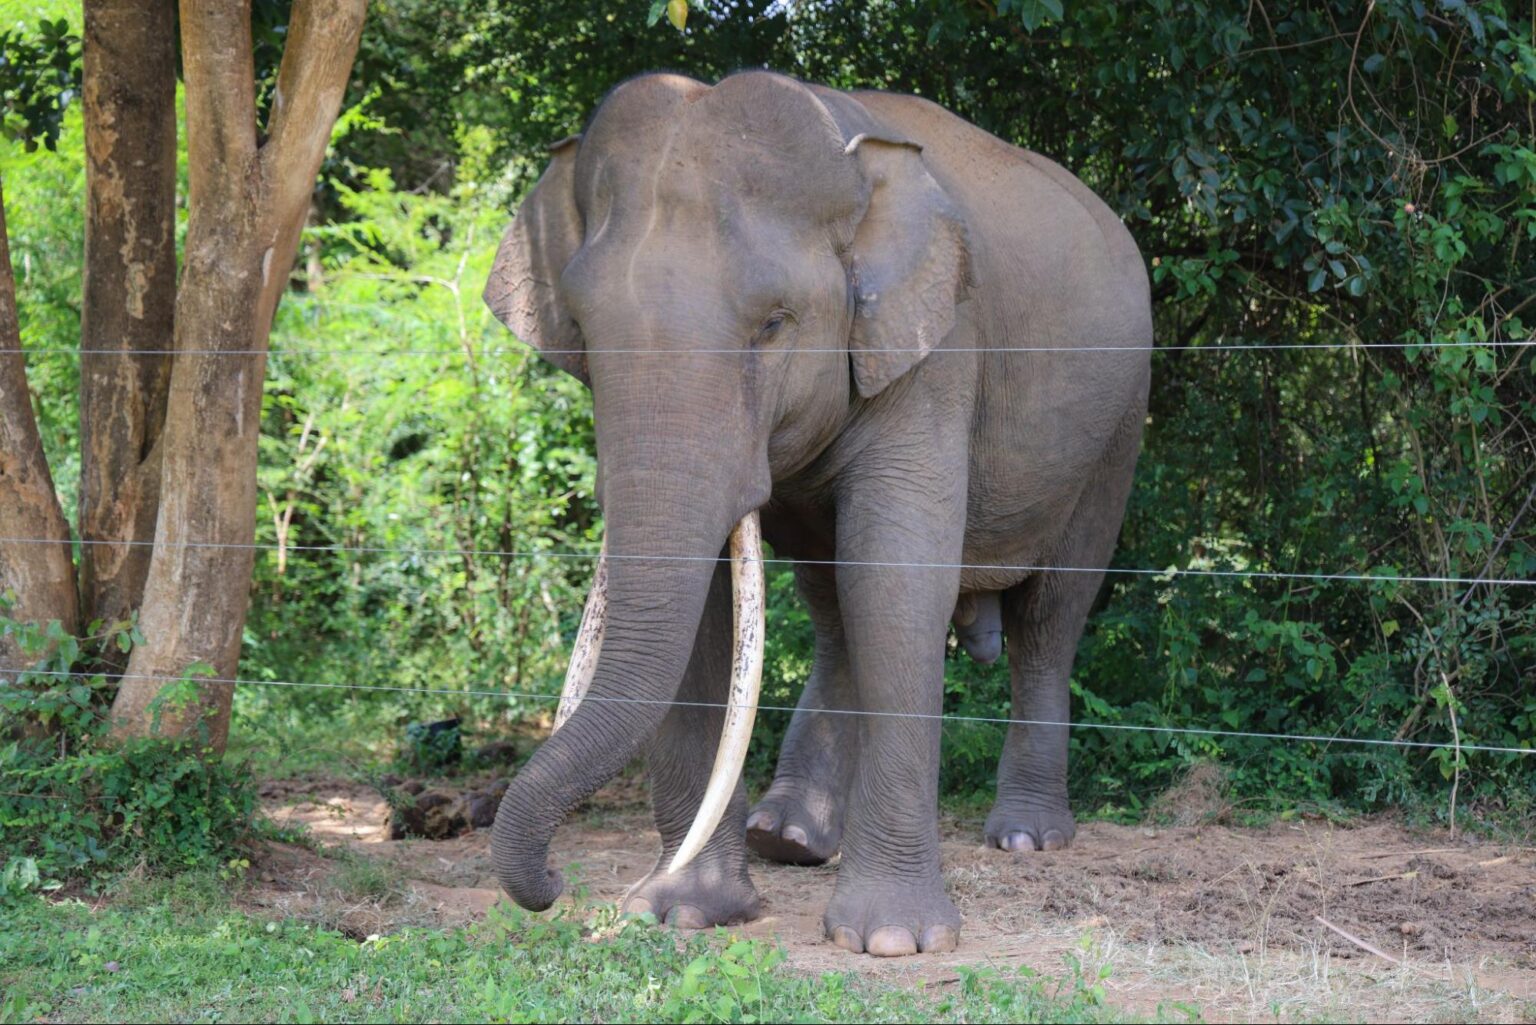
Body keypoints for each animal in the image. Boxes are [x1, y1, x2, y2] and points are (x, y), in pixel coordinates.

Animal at [483, 70, 1151, 958]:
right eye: (584, 330)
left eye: (774, 322)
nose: (557, 882)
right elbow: (722, 607)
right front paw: (685, 913)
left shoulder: (938, 345)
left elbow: (898, 571)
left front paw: (894, 941)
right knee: (835, 608)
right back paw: (789, 837)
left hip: (1119, 421)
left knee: (1051, 613)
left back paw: (1026, 837)